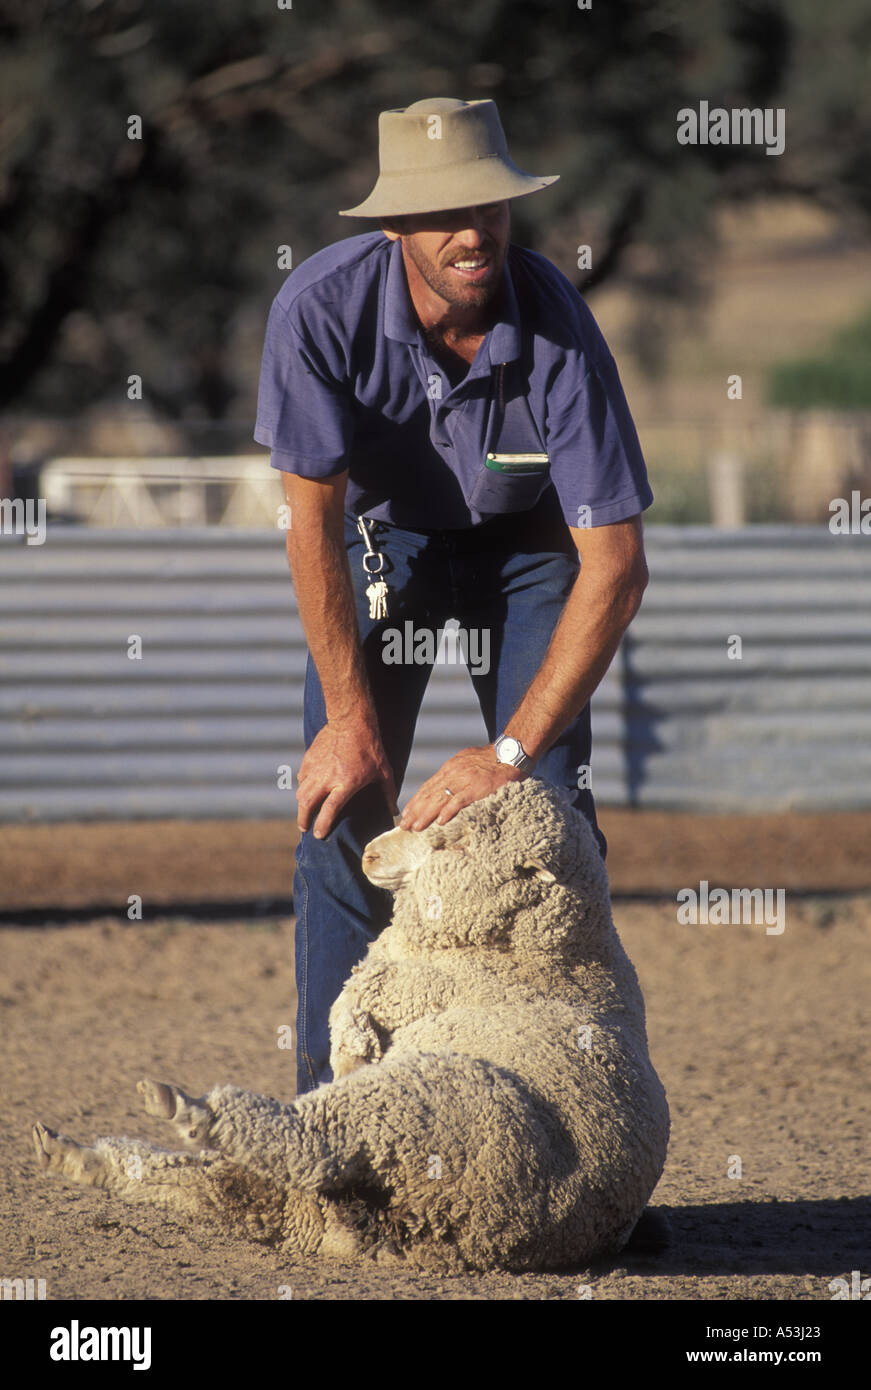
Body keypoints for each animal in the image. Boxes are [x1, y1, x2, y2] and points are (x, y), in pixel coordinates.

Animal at [32, 777, 670, 1273]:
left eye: (454, 840)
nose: (368, 854)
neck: (541, 951)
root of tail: (430, 1224)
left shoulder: (416, 985)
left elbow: (351, 1000)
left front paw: (351, 1051)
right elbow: (348, 1000)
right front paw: (351, 1050)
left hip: (429, 1107)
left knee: (306, 1142)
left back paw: (189, 1110)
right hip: (315, 1197)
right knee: (220, 1185)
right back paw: (80, 1157)